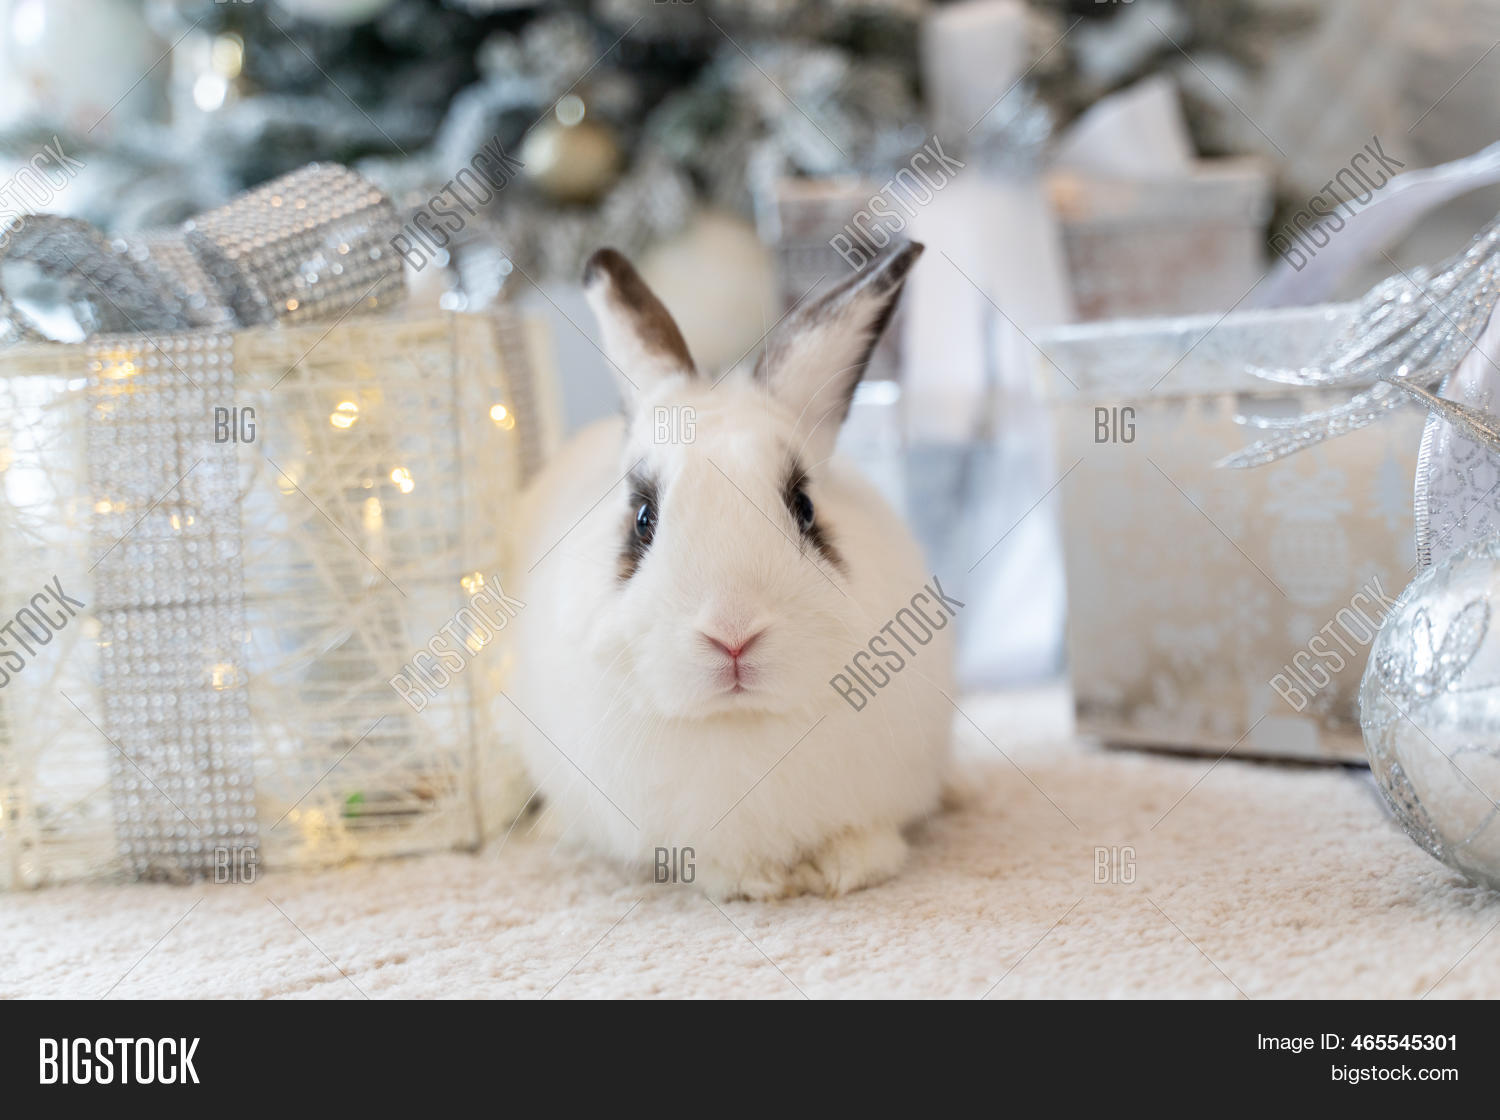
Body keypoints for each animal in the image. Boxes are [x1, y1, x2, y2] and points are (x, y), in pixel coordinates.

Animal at [504, 239, 955, 900]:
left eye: (805, 507)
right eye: (643, 519)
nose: (733, 634)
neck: (742, 722)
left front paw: (850, 869)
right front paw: (759, 883)